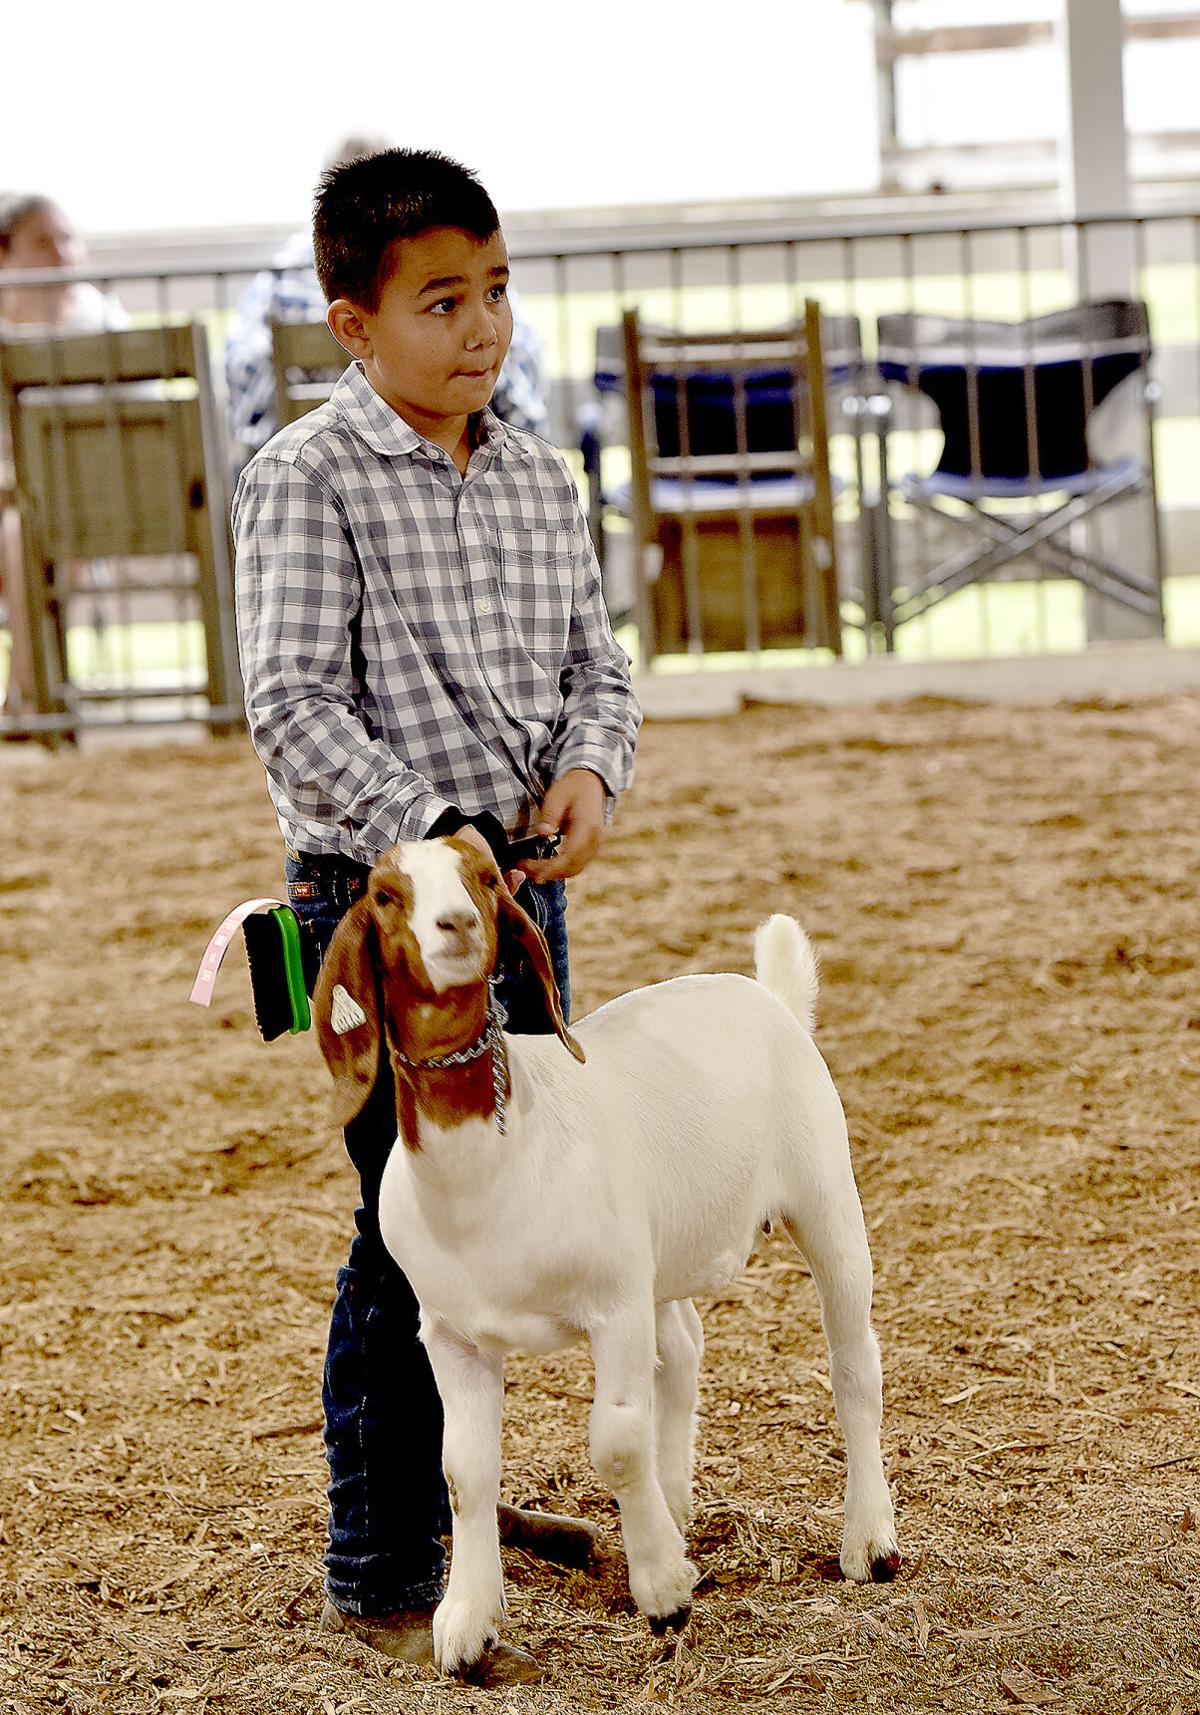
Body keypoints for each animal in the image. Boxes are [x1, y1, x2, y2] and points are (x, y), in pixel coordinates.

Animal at [314, 836, 899, 1676]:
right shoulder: (454, 1335)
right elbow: (463, 1473)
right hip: (664, 1248)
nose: (455, 924)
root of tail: (771, 997)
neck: (494, 1163)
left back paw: (869, 1539)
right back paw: (676, 1505)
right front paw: (467, 1624)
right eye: (386, 895)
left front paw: (661, 1589)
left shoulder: (613, 1304)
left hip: (825, 1193)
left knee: (854, 1363)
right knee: (683, 1348)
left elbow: (616, 1443)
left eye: (484, 877)